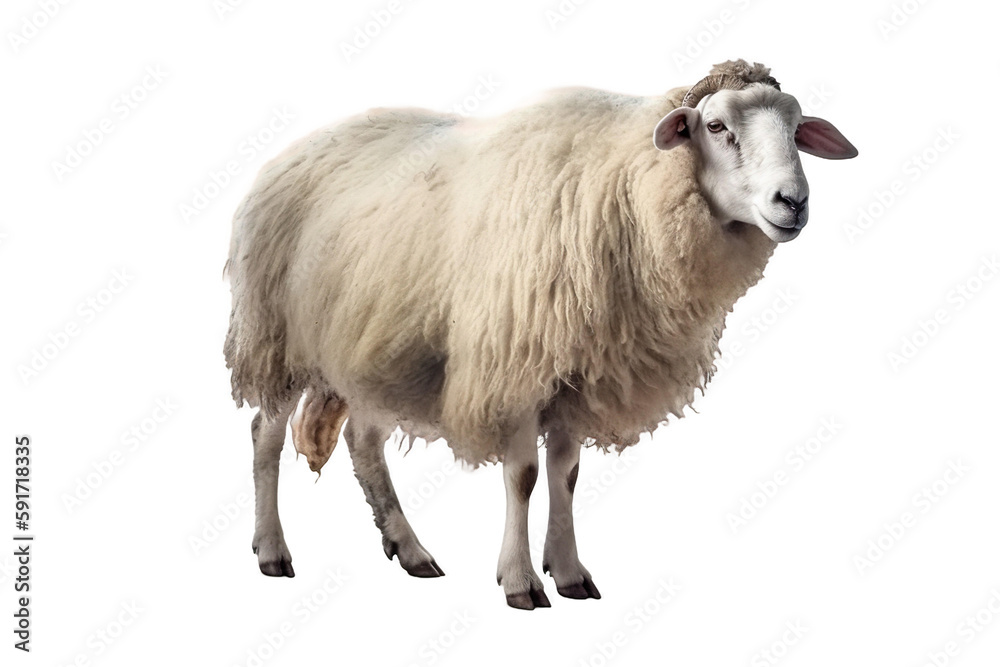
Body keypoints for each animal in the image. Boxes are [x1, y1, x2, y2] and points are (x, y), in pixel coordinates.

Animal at [224, 59, 857, 609]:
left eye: (797, 128)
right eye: (718, 126)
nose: (793, 202)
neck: (625, 188)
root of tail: (297, 149)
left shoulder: (579, 374)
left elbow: (566, 475)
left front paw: (570, 570)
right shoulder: (516, 361)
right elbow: (524, 475)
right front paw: (520, 580)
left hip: (374, 346)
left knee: (362, 440)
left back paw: (409, 548)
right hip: (277, 335)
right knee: (264, 434)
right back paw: (273, 551)